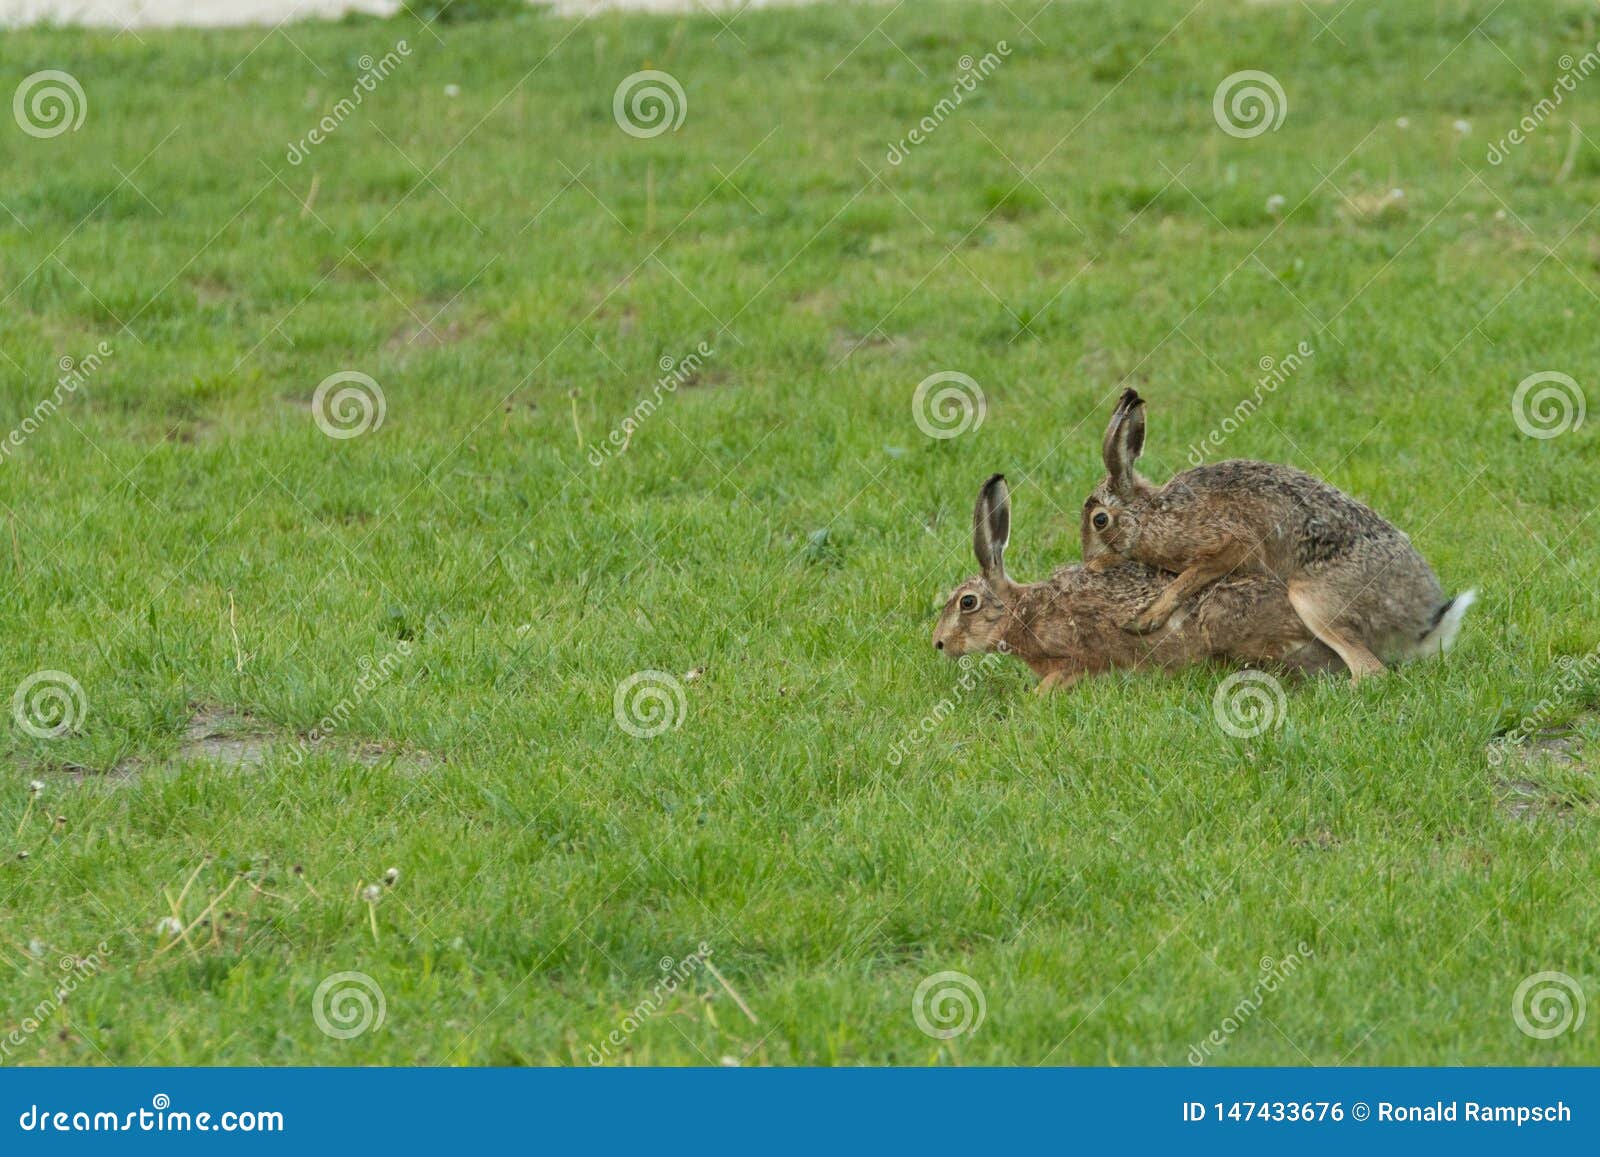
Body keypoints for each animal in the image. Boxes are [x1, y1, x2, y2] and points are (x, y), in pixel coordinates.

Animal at [1079, 388, 1474, 682]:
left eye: (1100, 521)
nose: (1089, 565)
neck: (1150, 515)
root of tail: (1421, 618)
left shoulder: (1228, 543)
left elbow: (1189, 577)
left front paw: (1145, 619)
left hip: (1314, 599)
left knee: (1370, 672)